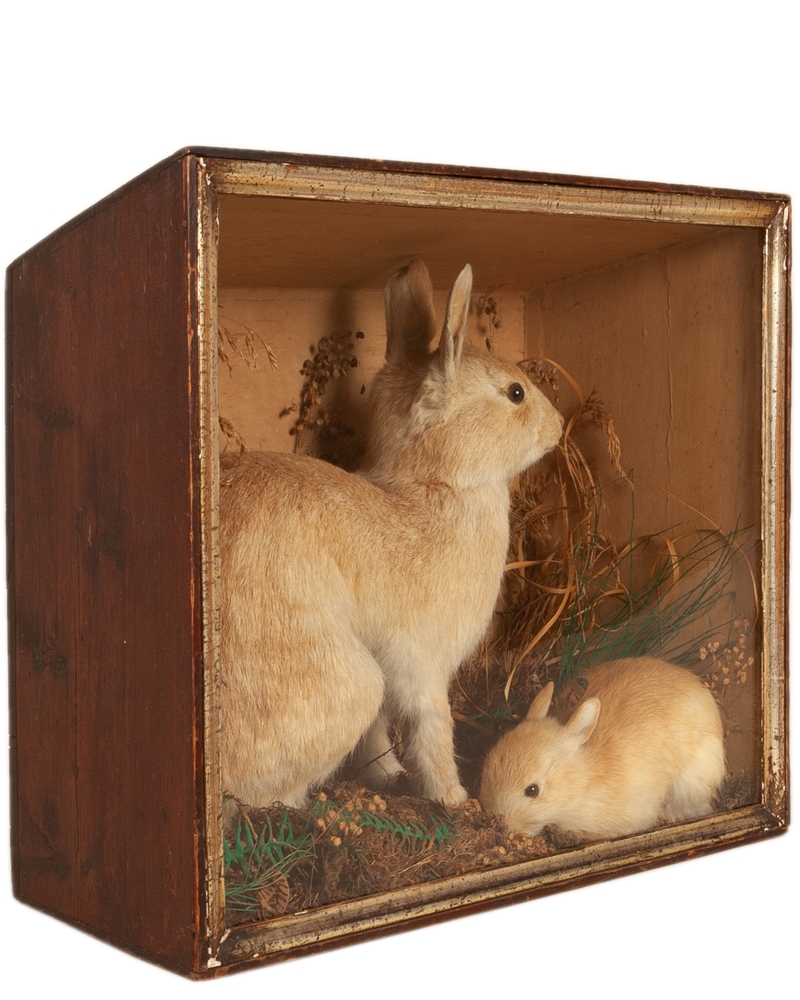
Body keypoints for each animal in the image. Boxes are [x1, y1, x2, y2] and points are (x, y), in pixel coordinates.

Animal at [219, 259, 564, 810]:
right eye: (515, 393)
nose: (559, 427)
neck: (436, 486)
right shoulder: (420, 662)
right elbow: (432, 728)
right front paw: (454, 799)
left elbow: (379, 736)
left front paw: (388, 777)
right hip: (352, 686)